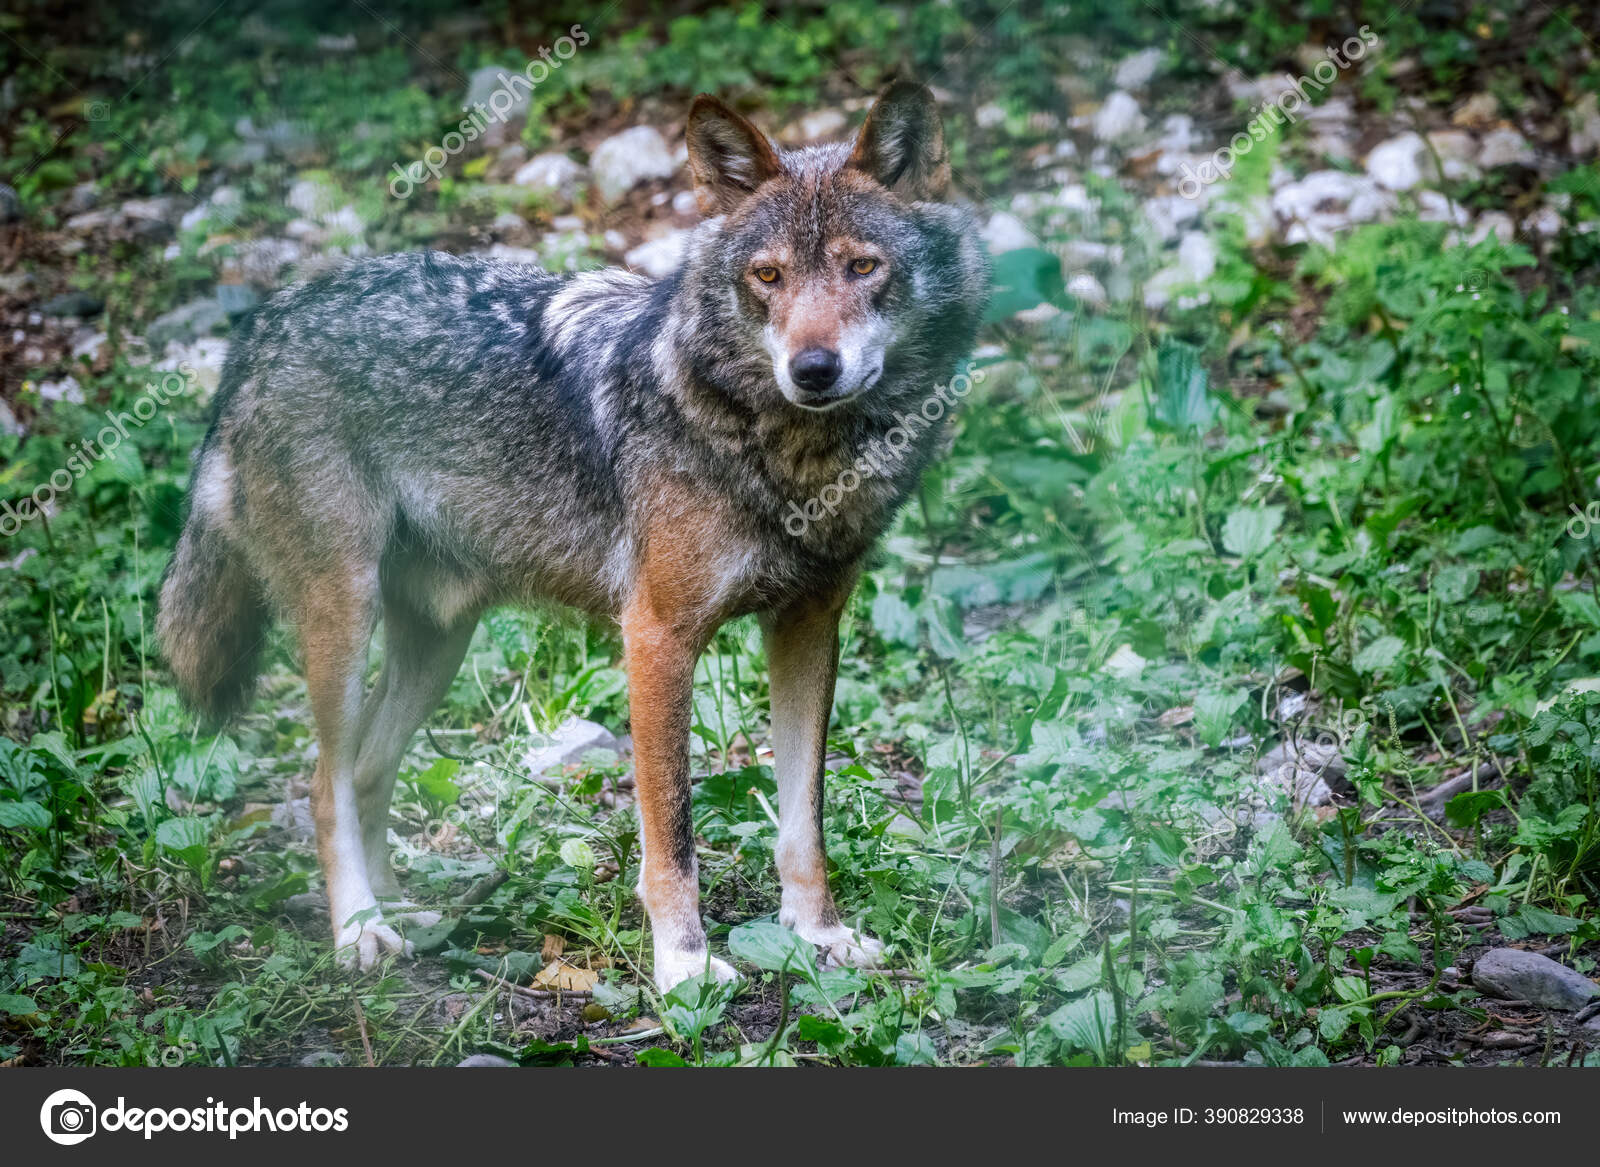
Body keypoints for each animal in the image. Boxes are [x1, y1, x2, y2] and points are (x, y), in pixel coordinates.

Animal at [157, 81, 988, 991]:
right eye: (767, 276)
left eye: (862, 267)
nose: (812, 369)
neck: (790, 455)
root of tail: (261, 329)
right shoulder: (656, 636)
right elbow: (672, 834)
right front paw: (685, 966)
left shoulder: (808, 626)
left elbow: (805, 820)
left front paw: (819, 935)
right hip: (345, 620)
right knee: (323, 782)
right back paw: (362, 933)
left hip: (438, 644)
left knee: (369, 771)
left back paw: (407, 913)